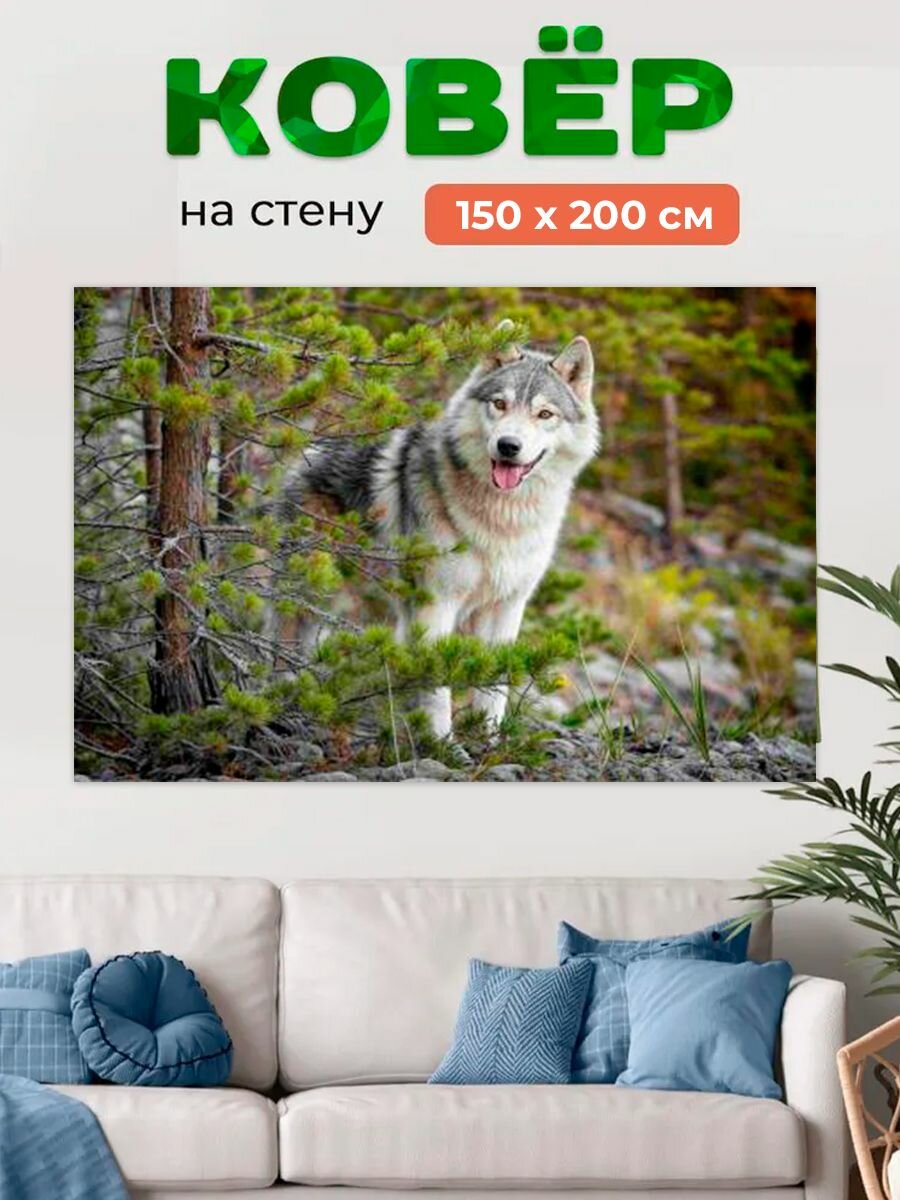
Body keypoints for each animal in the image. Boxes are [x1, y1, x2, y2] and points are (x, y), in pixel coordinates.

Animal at [279, 329, 599, 737]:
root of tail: (315, 446)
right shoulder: (437, 604)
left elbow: (493, 689)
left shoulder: (506, 609)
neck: (502, 521)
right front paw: (441, 744)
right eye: (499, 404)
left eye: (545, 414)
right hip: (312, 595)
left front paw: (489, 741)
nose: (508, 446)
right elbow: (437, 691)